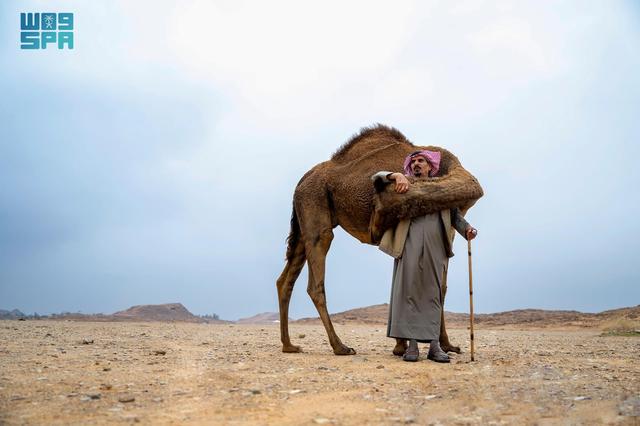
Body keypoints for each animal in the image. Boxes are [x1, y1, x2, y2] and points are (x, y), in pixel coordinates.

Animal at [276, 124, 483, 355]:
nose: (373, 230)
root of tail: (301, 181)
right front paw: (403, 346)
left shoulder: (449, 231)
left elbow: (441, 286)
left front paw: (445, 345)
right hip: (315, 205)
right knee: (315, 280)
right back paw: (340, 346)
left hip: (304, 220)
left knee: (285, 279)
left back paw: (289, 345)